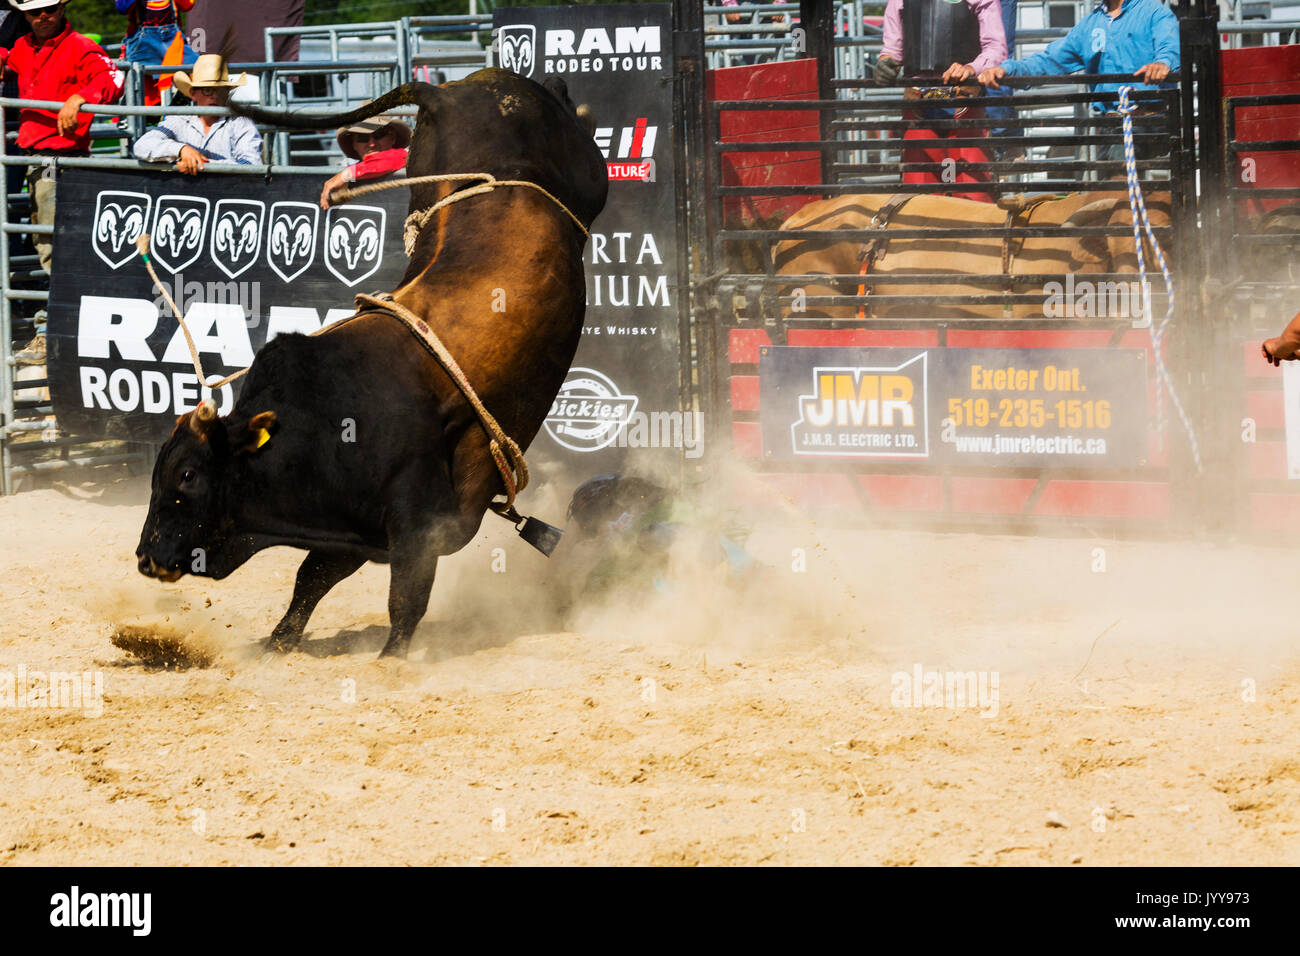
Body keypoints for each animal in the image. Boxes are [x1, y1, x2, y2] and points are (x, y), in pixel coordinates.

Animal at [134, 69, 608, 658]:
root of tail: (451, 91)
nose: (145, 557)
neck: (328, 417)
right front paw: (277, 642)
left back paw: (577, 100)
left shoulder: (422, 525)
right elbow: (312, 578)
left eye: (187, 474)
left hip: (588, 176)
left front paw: (390, 658)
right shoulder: (353, 528)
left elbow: (405, 600)